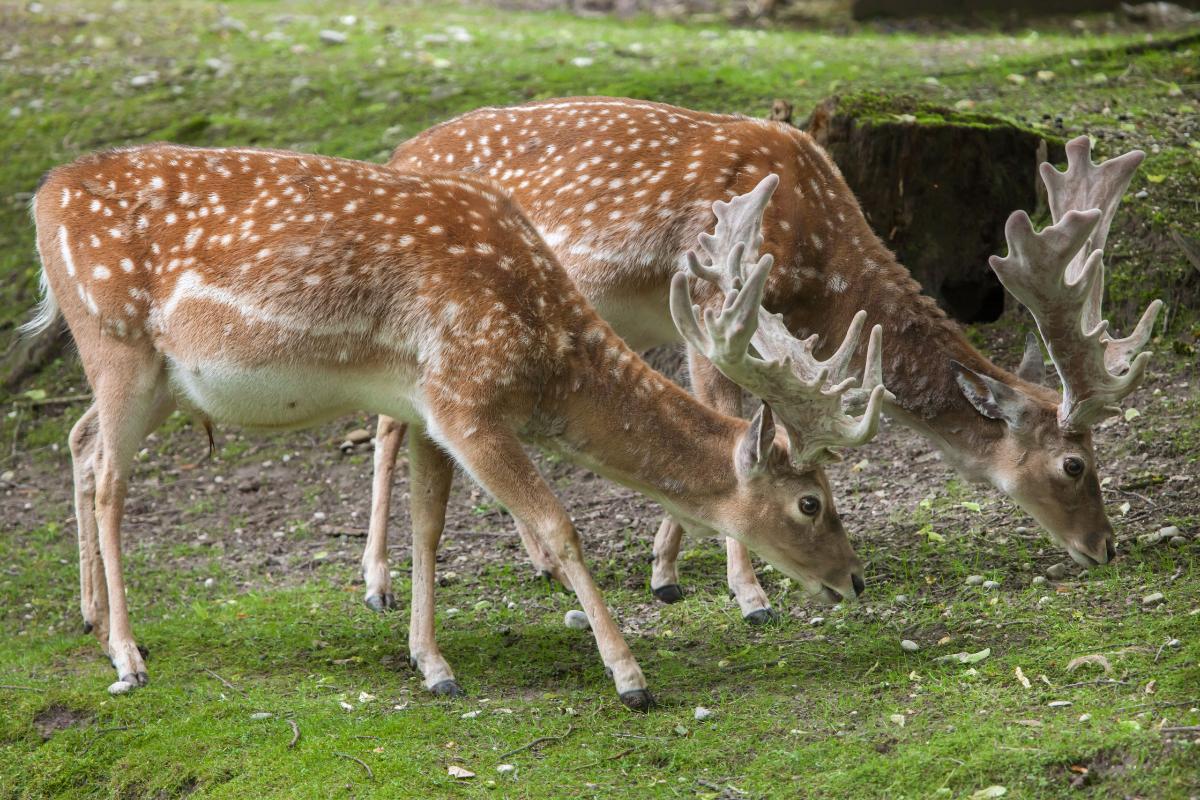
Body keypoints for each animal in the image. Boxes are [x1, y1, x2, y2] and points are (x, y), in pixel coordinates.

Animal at [27, 142, 885, 708]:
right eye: (811, 501)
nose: (854, 579)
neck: (543, 355)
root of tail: (40, 198)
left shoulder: (424, 403)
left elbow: (429, 527)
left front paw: (432, 664)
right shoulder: (468, 401)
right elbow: (559, 527)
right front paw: (630, 675)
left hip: (156, 379)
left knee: (80, 441)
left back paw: (92, 614)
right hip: (115, 340)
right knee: (109, 480)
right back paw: (126, 654)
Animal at [360, 98, 1160, 624]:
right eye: (1074, 465)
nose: (1108, 546)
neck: (819, 262)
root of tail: (396, 154)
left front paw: (667, 571)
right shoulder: (716, 304)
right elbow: (732, 421)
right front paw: (747, 593)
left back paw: (533, 559)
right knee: (391, 425)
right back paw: (376, 582)